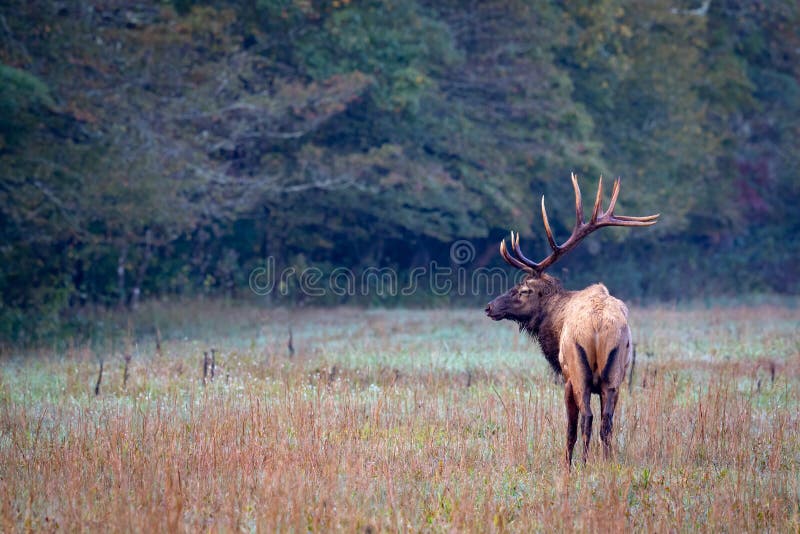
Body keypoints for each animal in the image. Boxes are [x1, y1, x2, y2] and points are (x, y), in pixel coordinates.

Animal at [485, 173, 658, 468]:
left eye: (523, 289)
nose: (490, 307)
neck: (554, 326)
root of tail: (598, 326)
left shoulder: (565, 376)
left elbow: (570, 427)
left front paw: (566, 463)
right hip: (616, 375)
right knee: (607, 422)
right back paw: (608, 461)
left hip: (579, 372)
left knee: (587, 419)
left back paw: (582, 463)